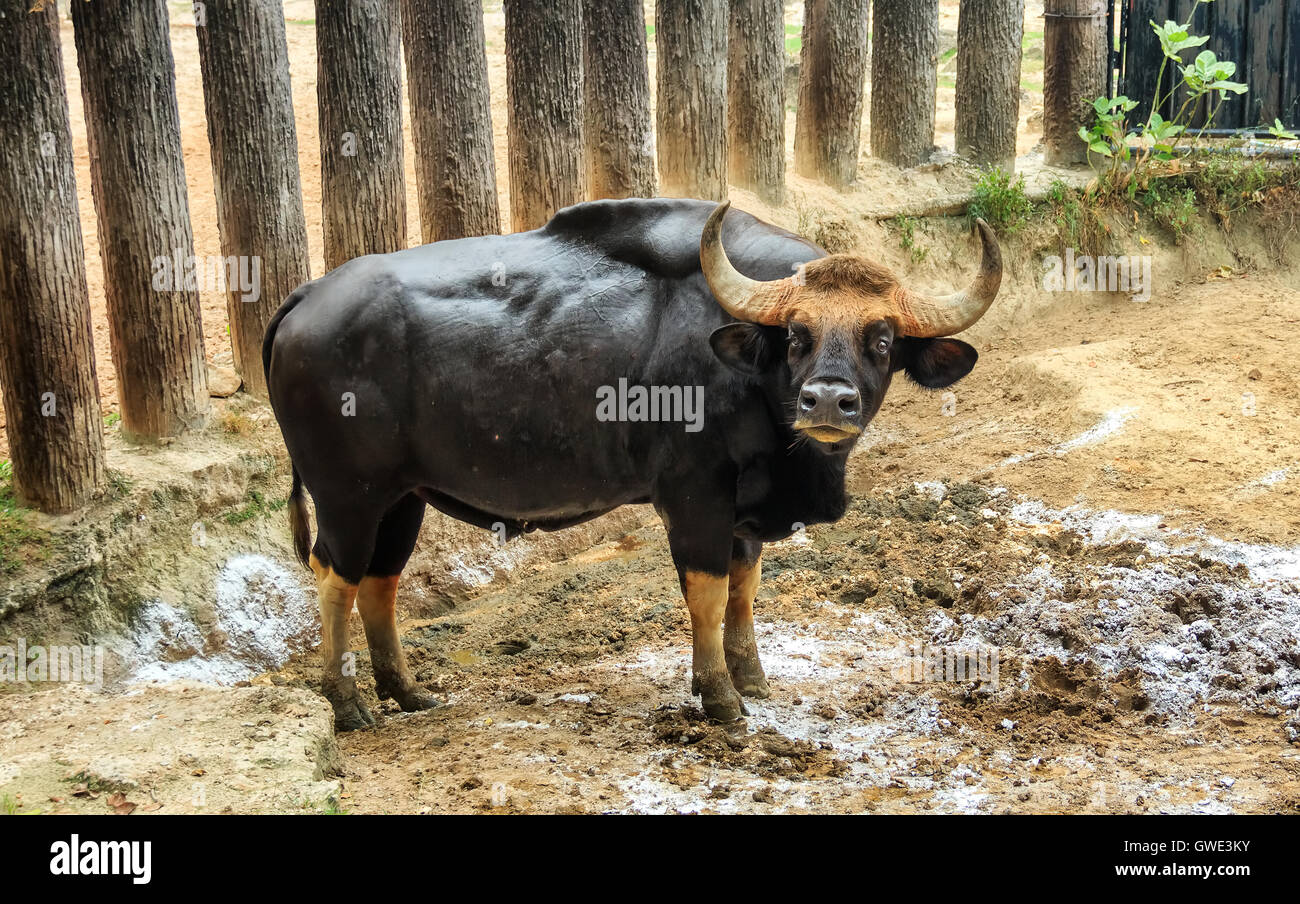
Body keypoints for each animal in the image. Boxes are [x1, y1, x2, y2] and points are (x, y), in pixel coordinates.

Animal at [263, 198, 1002, 729]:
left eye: (882, 339)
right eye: (797, 335)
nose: (826, 400)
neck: (747, 374)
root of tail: (307, 297)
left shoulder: (743, 512)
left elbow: (746, 586)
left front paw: (752, 675)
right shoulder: (695, 497)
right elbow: (707, 593)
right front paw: (720, 696)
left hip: (402, 498)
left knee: (379, 582)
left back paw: (407, 692)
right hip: (348, 495)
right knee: (335, 577)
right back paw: (347, 705)